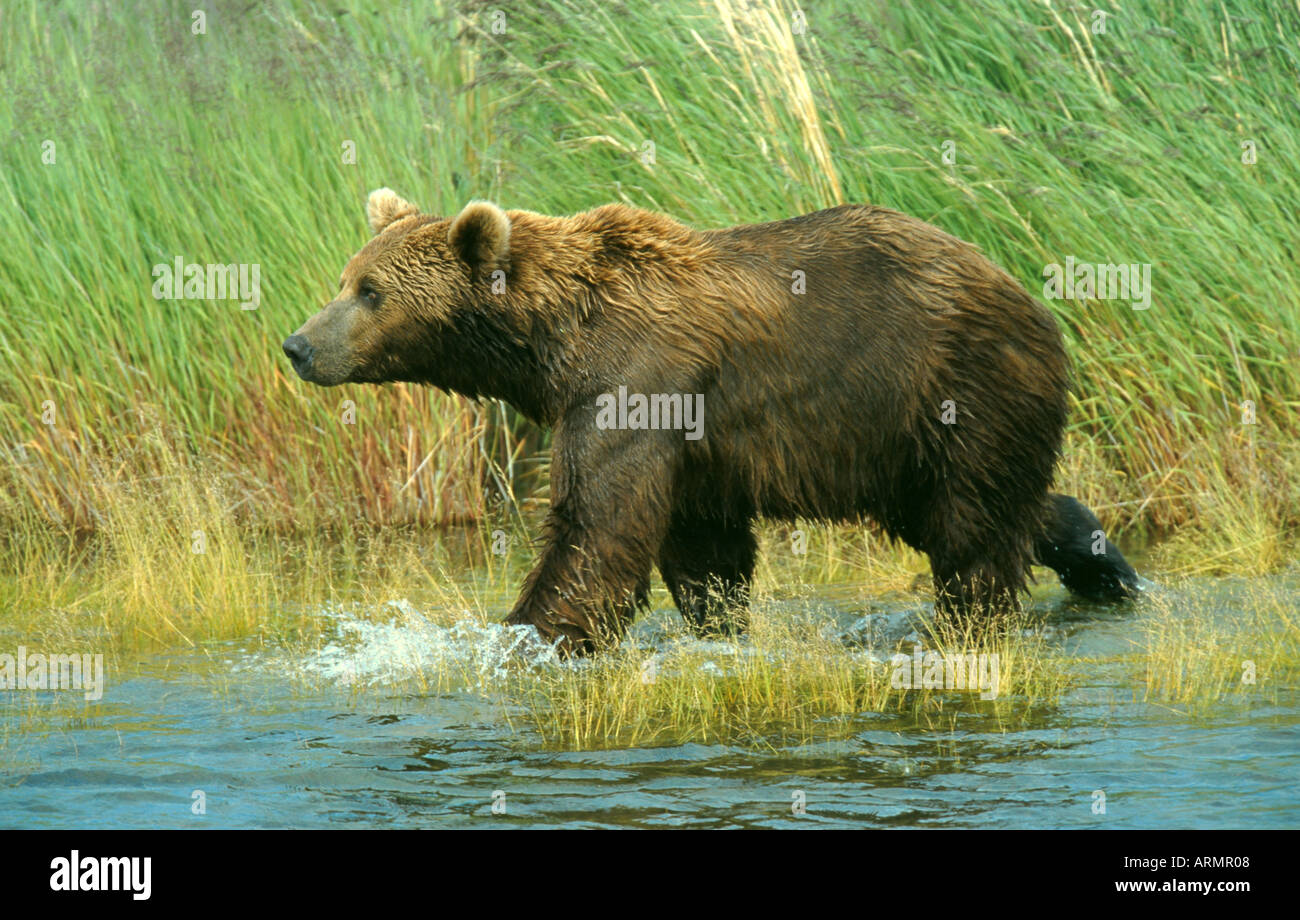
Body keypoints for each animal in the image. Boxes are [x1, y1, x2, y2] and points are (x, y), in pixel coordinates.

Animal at [284, 189, 1139, 655]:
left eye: (370, 293)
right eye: (346, 279)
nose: (298, 344)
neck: (554, 342)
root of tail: (1030, 297)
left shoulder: (636, 382)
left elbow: (597, 528)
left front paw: (523, 640)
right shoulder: (692, 444)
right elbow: (702, 548)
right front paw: (716, 627)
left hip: (952, 386)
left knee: (972, 532)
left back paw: (966, 624)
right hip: (905, 441)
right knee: (999, 507)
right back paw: (1106, 567)